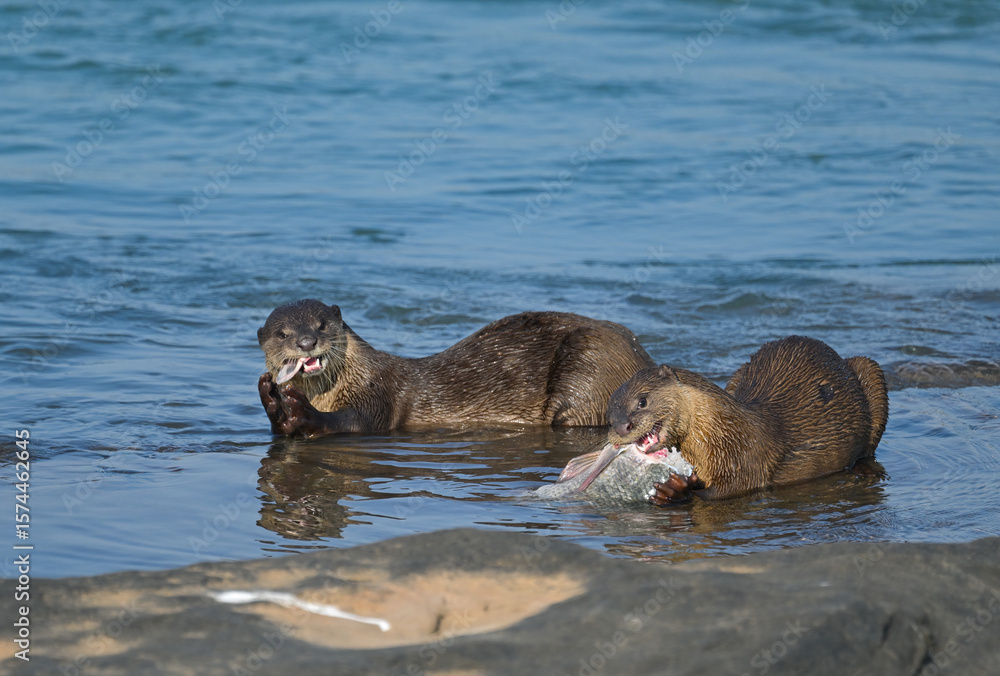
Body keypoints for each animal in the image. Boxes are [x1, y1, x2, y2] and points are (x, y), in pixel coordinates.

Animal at [257, 300, 655, 437]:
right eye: (282, 333)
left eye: (323, 324)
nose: (306, 342)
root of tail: (644, 360)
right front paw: (273, 401)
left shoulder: (376, 393)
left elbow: (355, 423)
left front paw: (301, 412)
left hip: (590, 360)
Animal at [595, 336, 888, 504]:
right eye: (609, 416)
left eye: (642, 401)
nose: (621, 428)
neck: (723, 433)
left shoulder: (746, 461)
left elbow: (725, 491)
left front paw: (677, 491)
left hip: (870, 370)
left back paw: (864, 468)